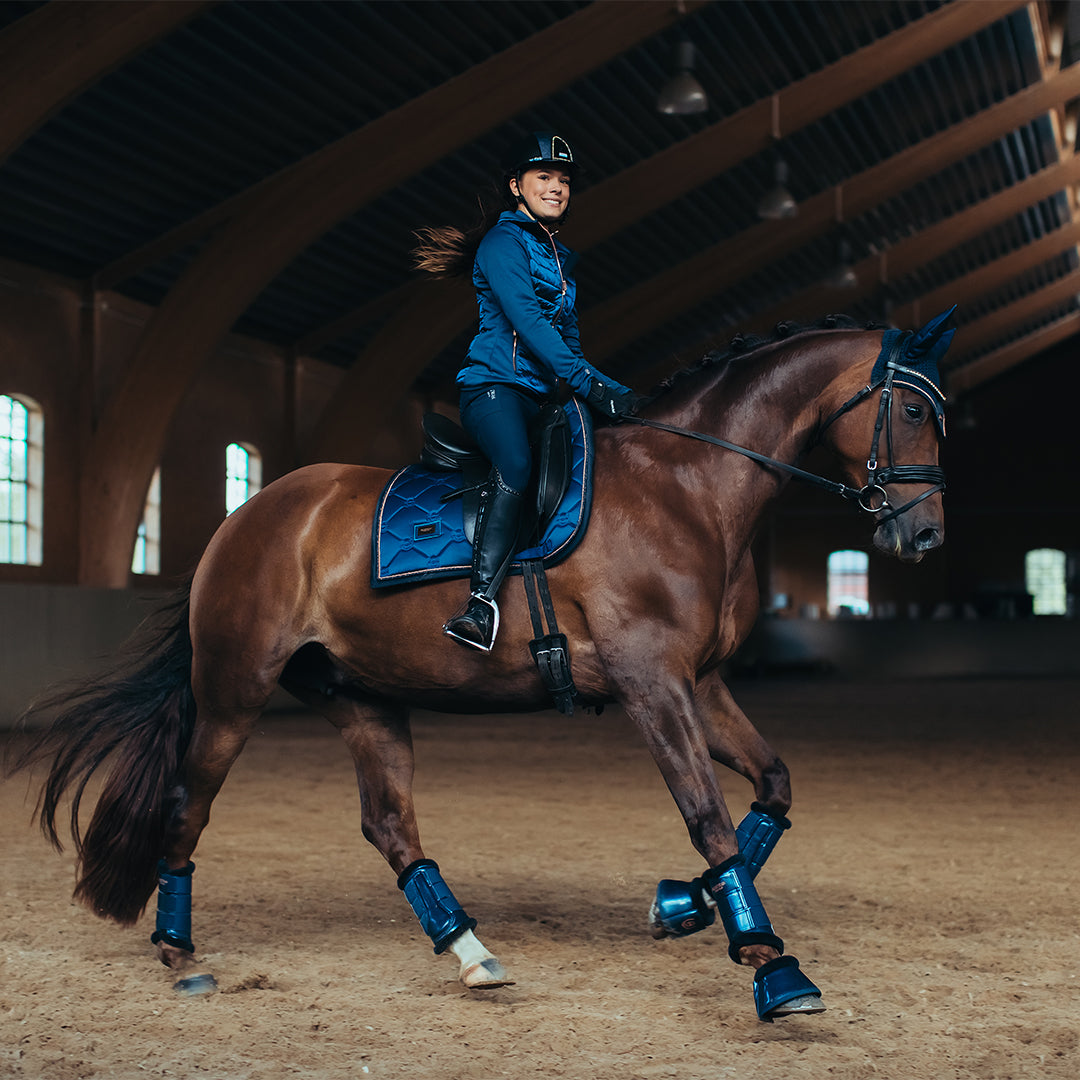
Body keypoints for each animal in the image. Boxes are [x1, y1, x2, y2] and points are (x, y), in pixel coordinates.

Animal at [10, 311, 952, 1020]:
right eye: (910, 409)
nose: (924, 534)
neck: (687, 485)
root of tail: (250, 514)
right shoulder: (654, 685)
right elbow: (710, 818)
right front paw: (770, 966)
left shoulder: (705, 685)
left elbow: (773, 789)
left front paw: (683, 905)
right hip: (235, 693)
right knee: (188, 805)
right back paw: (180, 955)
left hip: (362, 698)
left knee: (390, 825)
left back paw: (471, 951)